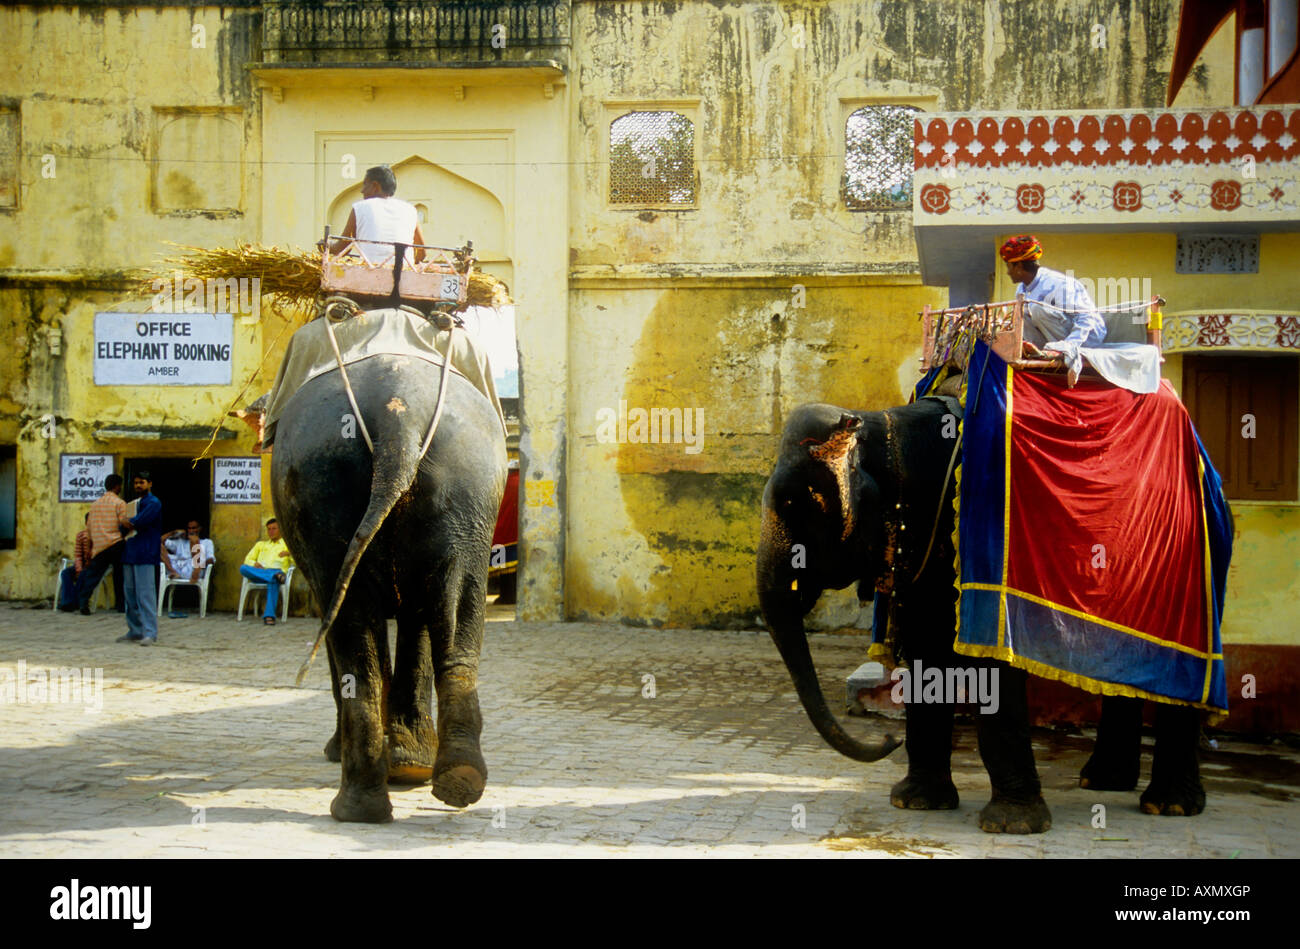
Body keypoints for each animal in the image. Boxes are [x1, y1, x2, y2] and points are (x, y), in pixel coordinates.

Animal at [270, 349, 506, 823]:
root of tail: (397, 413)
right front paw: (407, 763)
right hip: (466, 485)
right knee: (453, 607)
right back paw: (453, 780)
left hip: (324, 480)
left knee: (352, 632)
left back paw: (357, 804)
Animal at [756, 398, 1210, 834]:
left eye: (795, 503)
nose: (887, 739)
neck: (879, 424)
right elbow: (927, 648)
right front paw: (916, 802)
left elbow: (992, 662)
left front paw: (1012, 825)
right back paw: (1103, 782)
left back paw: (1168, 805)